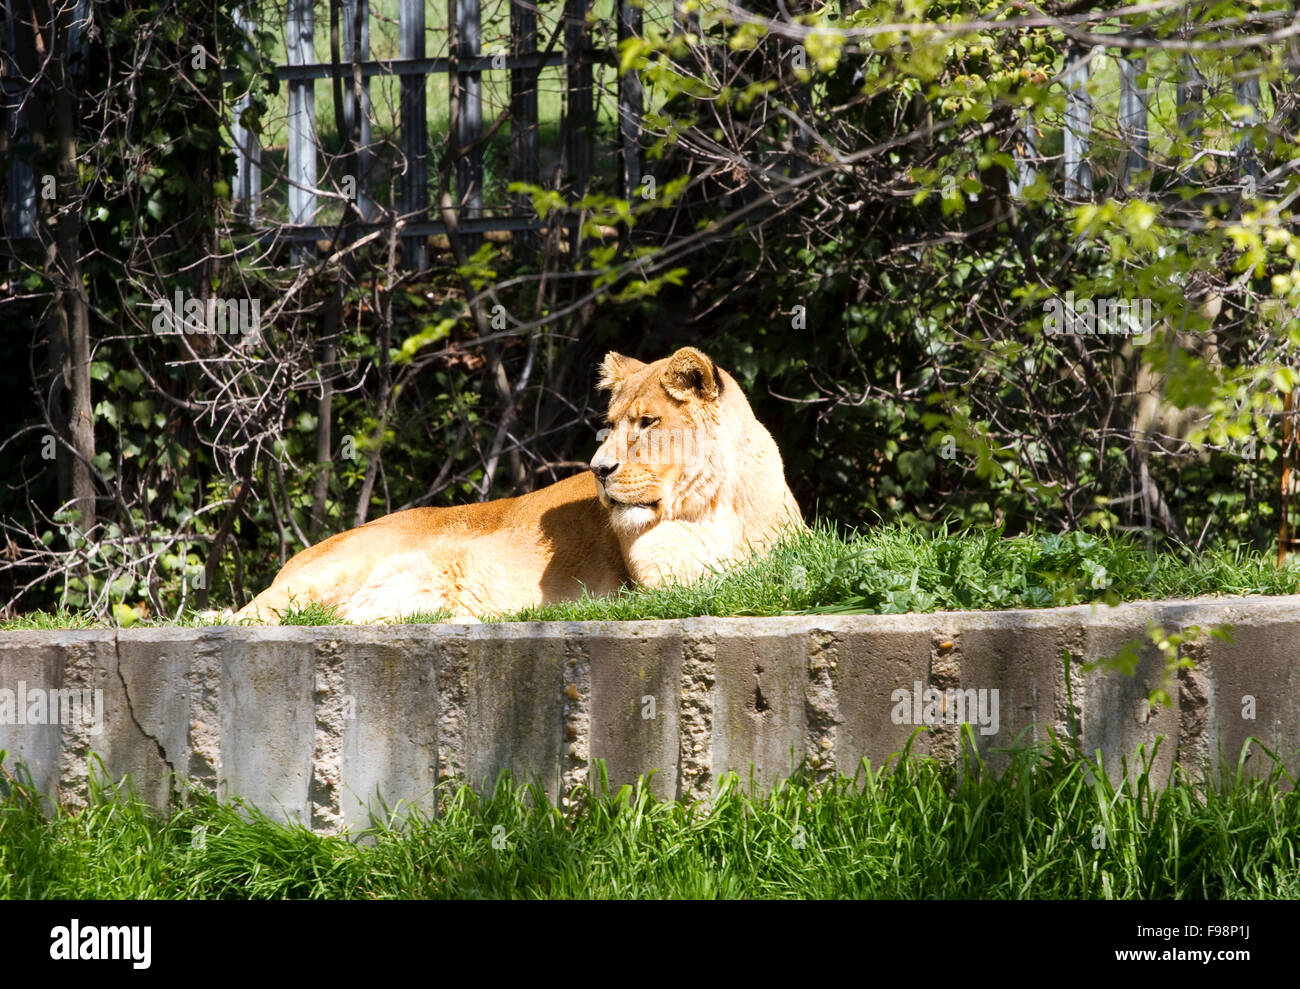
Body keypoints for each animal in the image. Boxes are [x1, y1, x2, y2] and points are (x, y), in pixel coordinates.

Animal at [235, 346, 802, 622]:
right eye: (610, 424)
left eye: (646, 423)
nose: (598, 469)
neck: (717, 503)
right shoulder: (672, 582)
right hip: (336, 568)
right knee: (240, 615)